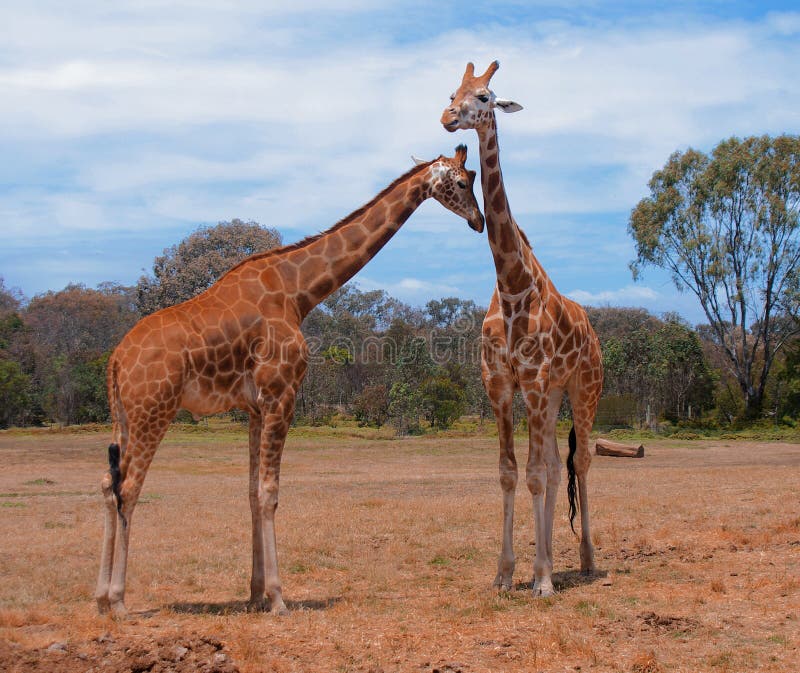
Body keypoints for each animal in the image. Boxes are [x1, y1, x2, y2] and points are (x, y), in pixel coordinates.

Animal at [94, 146, 483, 617]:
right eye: (463, 182)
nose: (479, 221)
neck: (299, 291)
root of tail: (116, 360)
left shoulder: (254, 406)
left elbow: (250, 492)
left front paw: (255, 592)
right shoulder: (282, 394)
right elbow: (269, 492)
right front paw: (278, 598)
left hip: (124, 417)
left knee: (107, 484)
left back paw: (99, 596)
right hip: (154, 411)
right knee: (128, 487)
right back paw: (118, 601)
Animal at [441, 62, 603, 597]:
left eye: (485, 96)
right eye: (454, 91)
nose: (448, 117)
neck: (511, 285)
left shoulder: (531, 379)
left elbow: (532, 474)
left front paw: (544, 580)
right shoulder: (501, 384)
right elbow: (511, 474)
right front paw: (508, 572)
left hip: (582, 387)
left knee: (578, 461)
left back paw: (585, 560)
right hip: (551, 395)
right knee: (553, 466)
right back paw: (545, 561)